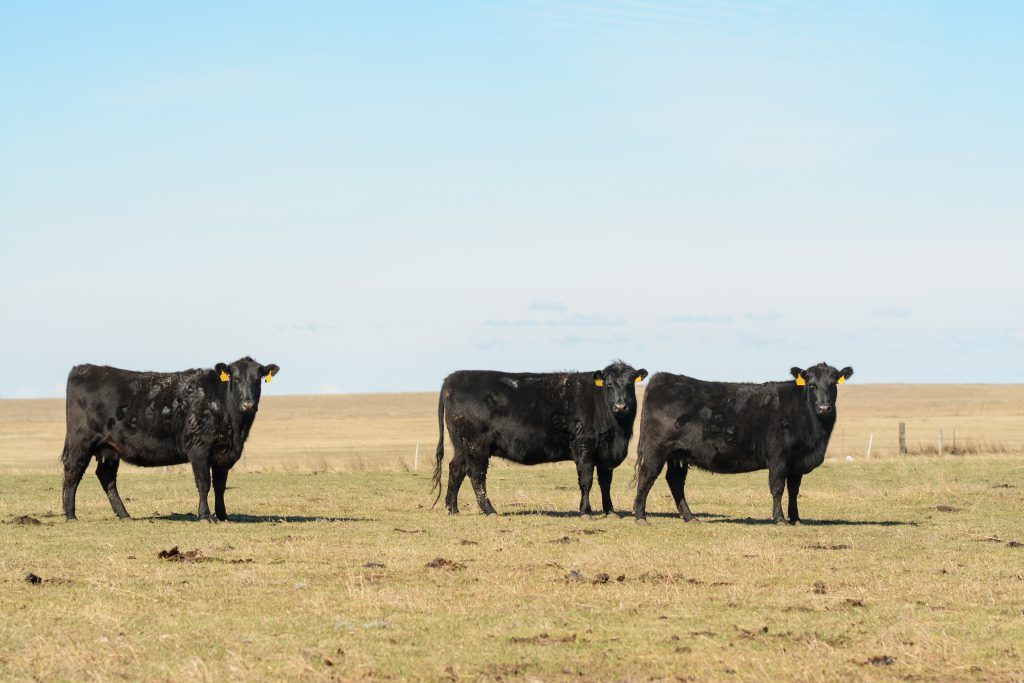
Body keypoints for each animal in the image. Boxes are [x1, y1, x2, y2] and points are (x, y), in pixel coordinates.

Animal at [60, 357, 279, 522]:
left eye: (258, 379)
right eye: (236, 378)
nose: (247, 404)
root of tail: (84, 368)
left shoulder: (223, 453)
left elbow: (220, 486)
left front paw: (223, 516)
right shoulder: (199, 449)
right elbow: (204, 483)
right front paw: (205, 516)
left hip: (110, 448)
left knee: (106, 477)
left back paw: (124, 515)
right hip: (81, 443)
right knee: (72, 472)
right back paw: (70, 515)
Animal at [431, 361, 648, 518]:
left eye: (630, 384)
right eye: (609, 385)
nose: (621, 406)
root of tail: (453, 378)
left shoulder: (605, 453)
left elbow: (605, 483)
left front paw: (610, 511)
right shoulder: (584, 448)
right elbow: (586, 481)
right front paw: (586, 512)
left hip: (462, 446)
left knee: (456, 470)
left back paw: (453, 509)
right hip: (476, 447)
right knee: (476, 475)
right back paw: (489, 511)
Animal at [632, 362, 853, 525]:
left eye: (833, 384)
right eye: (811, 385)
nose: (824, 407)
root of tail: (662, 378)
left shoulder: (796, 461)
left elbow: (794, 490)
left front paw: (796, 518)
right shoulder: (778, 458)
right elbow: (778, 488)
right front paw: (780, 519)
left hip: (678, 454)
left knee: (675, 481)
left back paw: (690, 517)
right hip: (656, 450)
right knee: (646, 477)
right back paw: (641, 517)